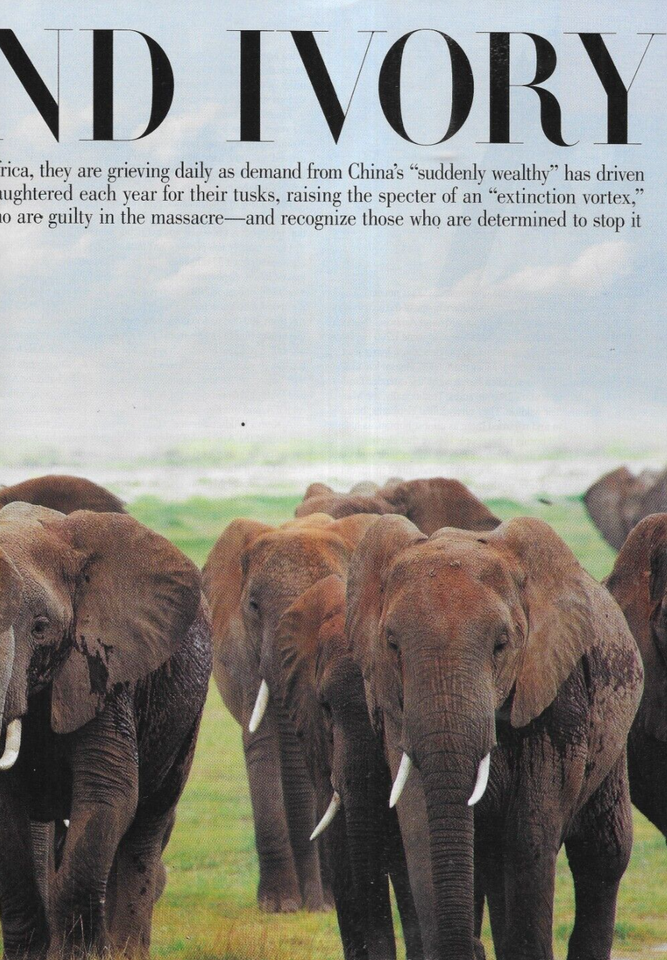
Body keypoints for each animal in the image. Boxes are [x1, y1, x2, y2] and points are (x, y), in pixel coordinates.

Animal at [0, 502, 211, 960]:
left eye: (40, 627)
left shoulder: (104, 672)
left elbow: (107, 793)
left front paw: (77, 956)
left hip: (187, 718)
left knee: (148, 822)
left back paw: (125, 952)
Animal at [202, 512, 379, 915]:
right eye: (253, 606)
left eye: (335, 602)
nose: (308, 904)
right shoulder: (242, 650)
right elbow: (262, 741)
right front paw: (279, 906)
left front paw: (322, 905)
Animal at [347, 514, 643, 960]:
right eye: (392, 645)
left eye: (501, 645)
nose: (473, 948)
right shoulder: (394, 706)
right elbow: (419, 825)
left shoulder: (556, 698)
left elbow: (528, 835)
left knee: (601, 854)